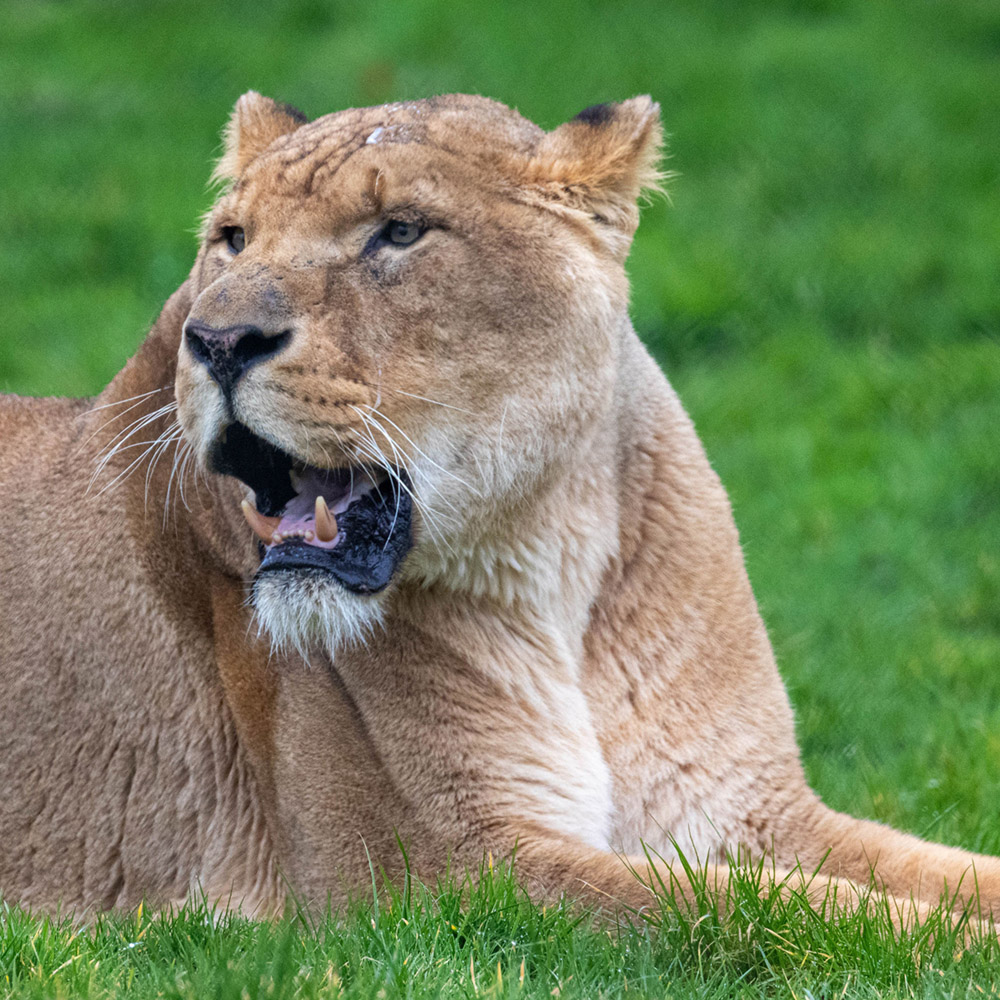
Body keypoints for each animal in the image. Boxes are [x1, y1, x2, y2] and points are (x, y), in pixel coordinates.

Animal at [0, 92, 997, 924]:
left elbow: (927, 879)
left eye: (400, 231)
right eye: (233, 238)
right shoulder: (438, 873)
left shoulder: (749, 810)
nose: (215, 339)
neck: (555, 563)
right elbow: (792, 912)